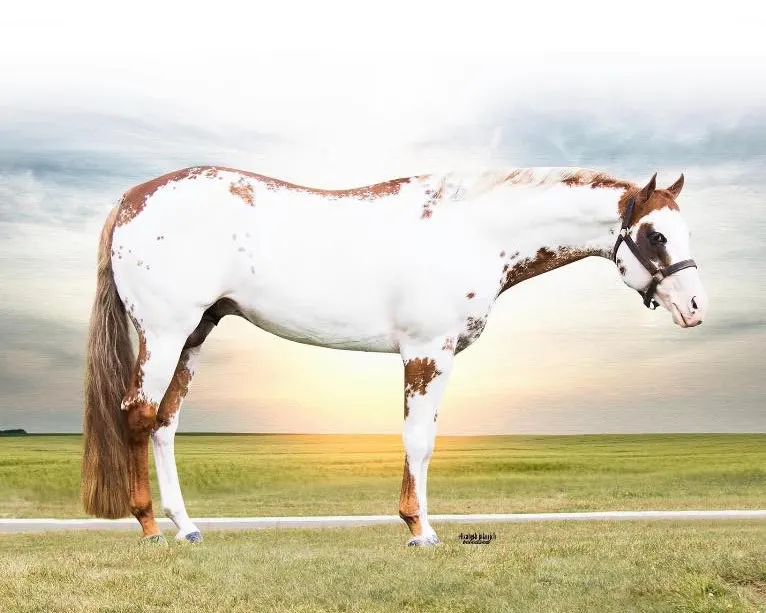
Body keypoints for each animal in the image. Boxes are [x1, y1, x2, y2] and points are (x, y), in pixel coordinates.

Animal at [81, 165, 708, 546]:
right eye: (655, 234)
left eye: (683, 232)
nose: (696, 307)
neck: (472, 231)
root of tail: (132, 199)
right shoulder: (428, 353)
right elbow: (418, 440)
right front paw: (419, 529)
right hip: (165, 332)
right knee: (137, 414)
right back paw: (149, 528)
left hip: (194, 334)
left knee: (164, 423)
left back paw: (186, 527)